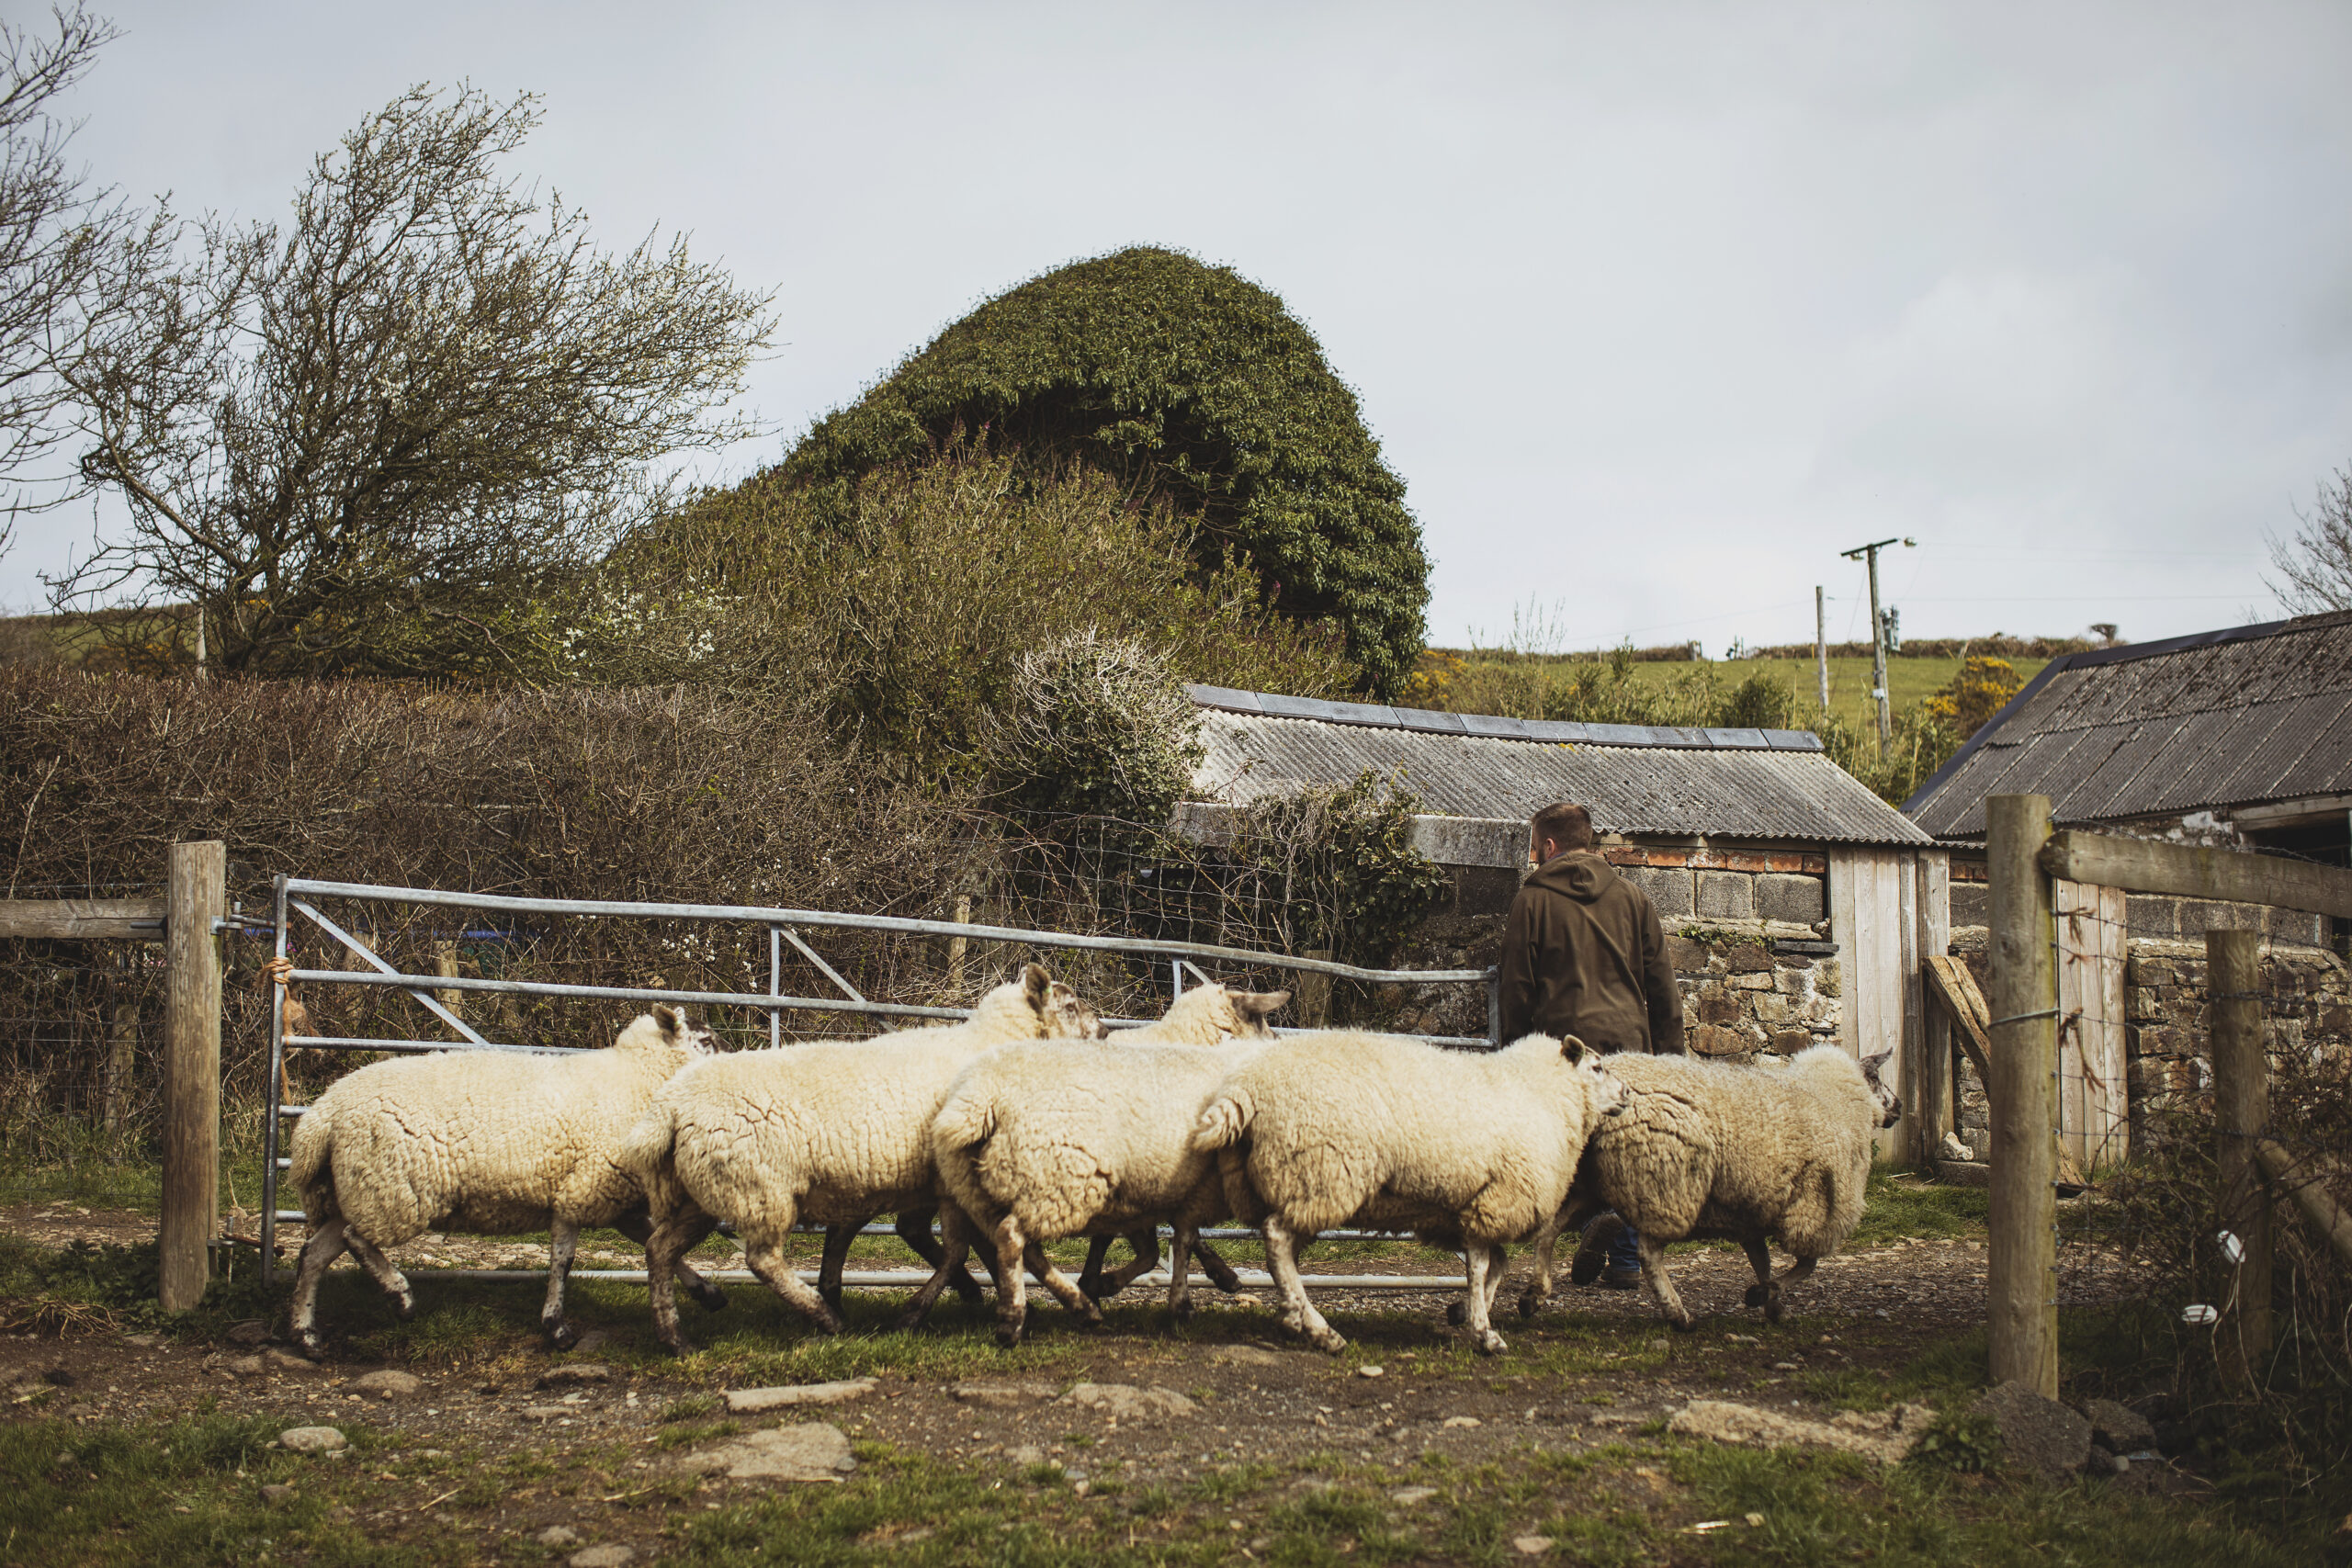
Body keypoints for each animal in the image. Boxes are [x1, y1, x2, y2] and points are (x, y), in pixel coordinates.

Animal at [285, 1004, 720, 1359]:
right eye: (707, 1040)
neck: (637, 1079)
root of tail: (323, 1114)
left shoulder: (603, 1194)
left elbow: (652, 1244)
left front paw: (707, 1292)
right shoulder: (581, 1187)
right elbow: (564, 1260)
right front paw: (556, 1328)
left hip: (356, 1187)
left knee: (315, 1253)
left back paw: (307, 1337)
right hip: (393, 1185)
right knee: (356, 1239)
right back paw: (401, 1297)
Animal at [613, 963, 1103, 1353]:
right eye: (1070, 1005)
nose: (1104, 1032)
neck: (993, 1044)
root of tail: (671, 1107)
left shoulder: (946, 1185)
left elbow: (979, 1246)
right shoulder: (952, 1183)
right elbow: (960, 1251)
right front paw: (920, 1312)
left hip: (707, 1191)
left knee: (659, 1248)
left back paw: (676, 1337)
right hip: (758, 1188)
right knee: (762, 1260)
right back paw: (825, 1317)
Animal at [922, 982, 1291, 1345]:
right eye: (1259, 1018)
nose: (1277, 1042)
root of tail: (979, 1100)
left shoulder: (1143, 1181)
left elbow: (1153, 1243)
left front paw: (1098, 1284)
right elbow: (1171, 1239)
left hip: (984, 1187)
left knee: (997, 1241)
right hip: (1051, 1180)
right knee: (1003, 1239)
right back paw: (1010, 1318)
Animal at [1192, 1030, 1629, 1356]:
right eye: (1597, 1066)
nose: (1626, 1093)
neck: (1542, 1093)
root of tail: (1246, 1088)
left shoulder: (1471, 1208)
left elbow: (1498, 1267)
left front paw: (1466, 1312)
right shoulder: (1492, 1201)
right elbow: (1481, 1268)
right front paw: (1484, 1333)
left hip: (1288, 1181)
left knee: (1280, 1253)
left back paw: (1292, 1316)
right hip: (1323, 1174)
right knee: (1278, 1240)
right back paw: (1321, 1331)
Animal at [1513, 1045, 1901, 1331]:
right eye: (1877, 1078)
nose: (1898, 1107)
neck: (1834, 1098)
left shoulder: (1751, 1212)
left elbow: (1762, 1260)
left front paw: (1771, 1304)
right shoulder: (1815, 1210)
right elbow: (1808, 1265)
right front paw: (1763, 1296)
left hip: (1585, 1180)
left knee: (1548, 1232)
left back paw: (1534, 1296)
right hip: (1665, 1180)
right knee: (1648, 1253)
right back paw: (1678, 1315)